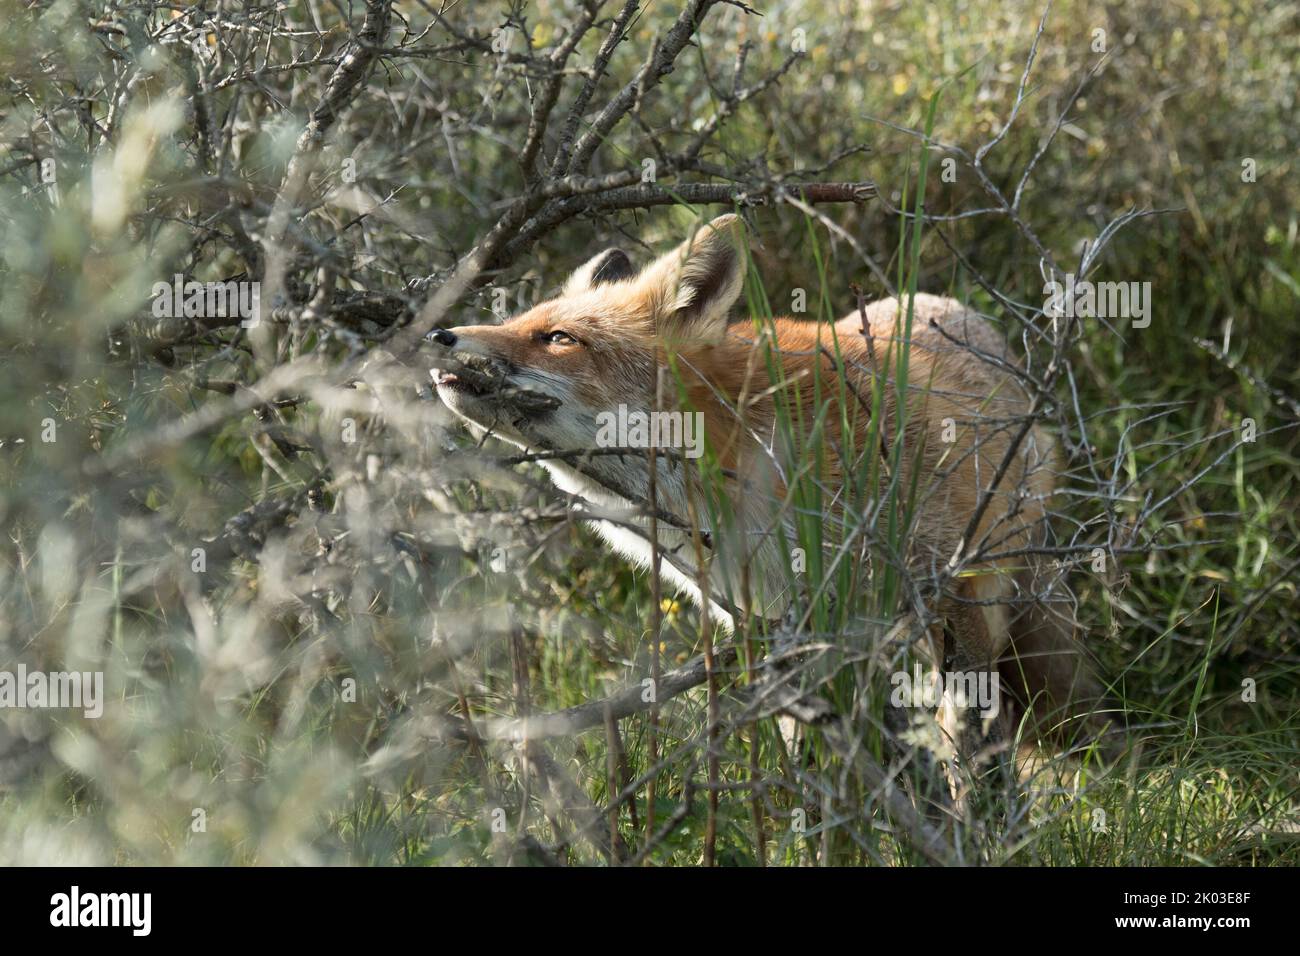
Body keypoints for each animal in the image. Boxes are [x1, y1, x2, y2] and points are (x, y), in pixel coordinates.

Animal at [430, 214, 1111, 756]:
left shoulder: (952, 589)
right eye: (524, 318)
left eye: (559, 338)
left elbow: (972, 743)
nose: (440, 335)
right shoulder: (779, 624)